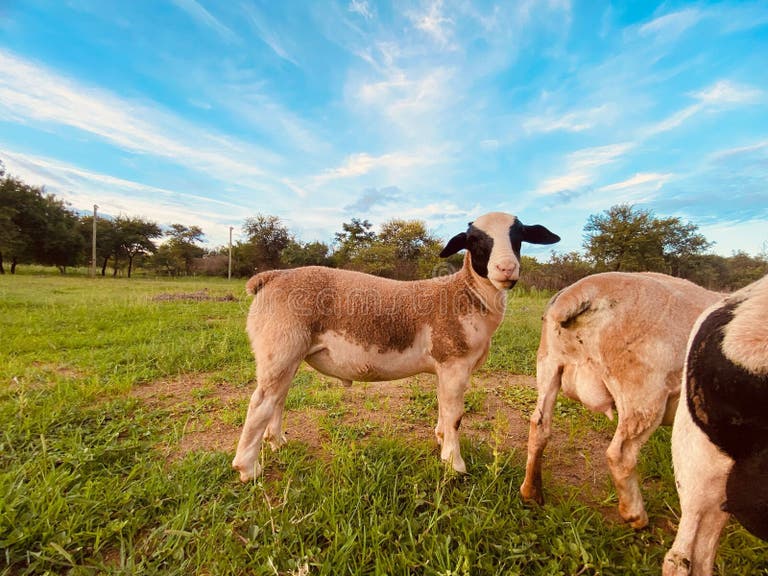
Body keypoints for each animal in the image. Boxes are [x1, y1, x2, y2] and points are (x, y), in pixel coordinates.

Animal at [231, 212, 560, 482]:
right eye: (475, 240)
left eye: (519, 236)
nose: (506, 268)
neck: (466, 293)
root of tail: (271, 277)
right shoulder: (454, 362)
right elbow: (455, 415)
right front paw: (454, 464)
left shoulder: (444, 368)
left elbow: (443, 407)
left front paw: (441, 439)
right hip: (280, 345)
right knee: (260, 403)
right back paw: (247, 468)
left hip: (287, 352)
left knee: (278, 397)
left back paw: (277, 442)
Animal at [519, 272, 721, 529]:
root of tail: (582, 293)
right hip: (642, 393)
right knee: (620, 455)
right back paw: (636, 516)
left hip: (549, 364)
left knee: (539, 426)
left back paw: (531, 493)